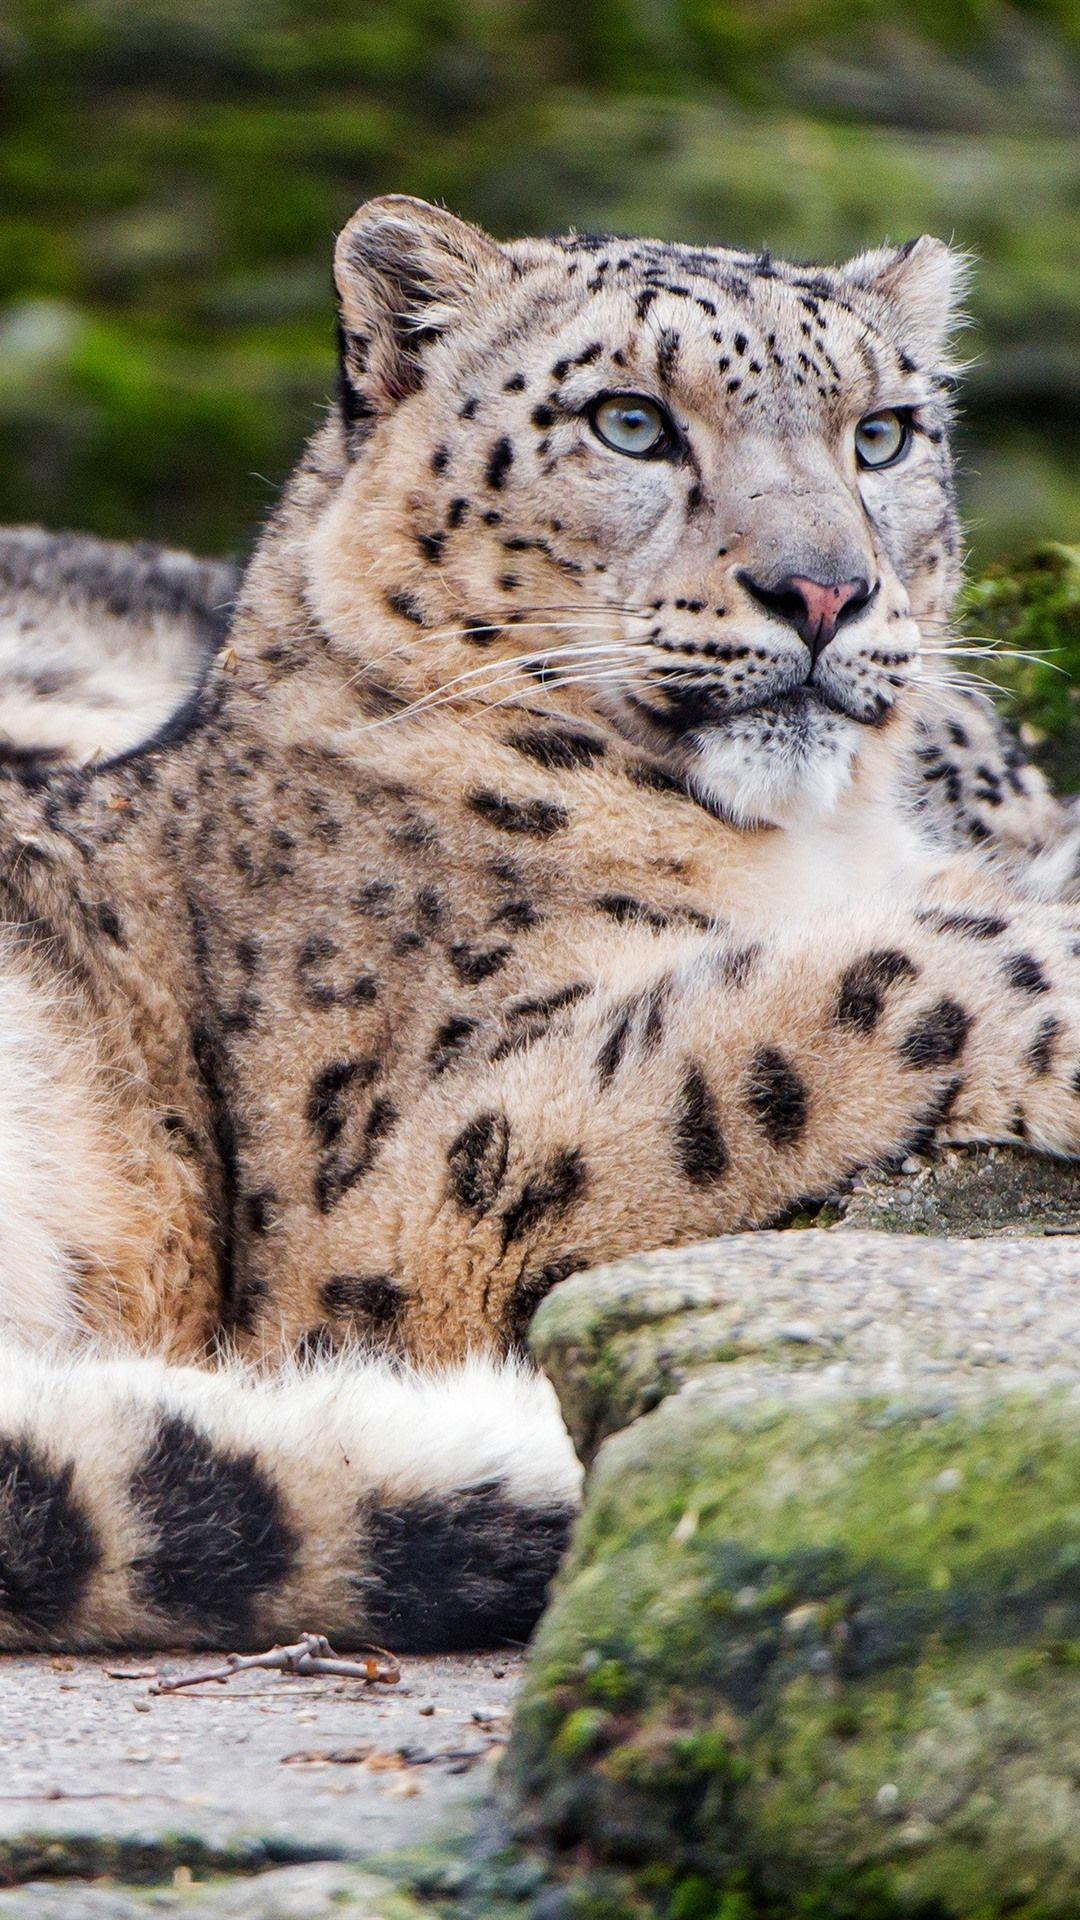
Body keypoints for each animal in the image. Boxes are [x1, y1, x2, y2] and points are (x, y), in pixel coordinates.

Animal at [1, 195, 1079, 1655]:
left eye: (882, 435)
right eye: (630, 422)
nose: (822, 590)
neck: (819, 836)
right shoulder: (398, 1200)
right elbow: (820, 1010)